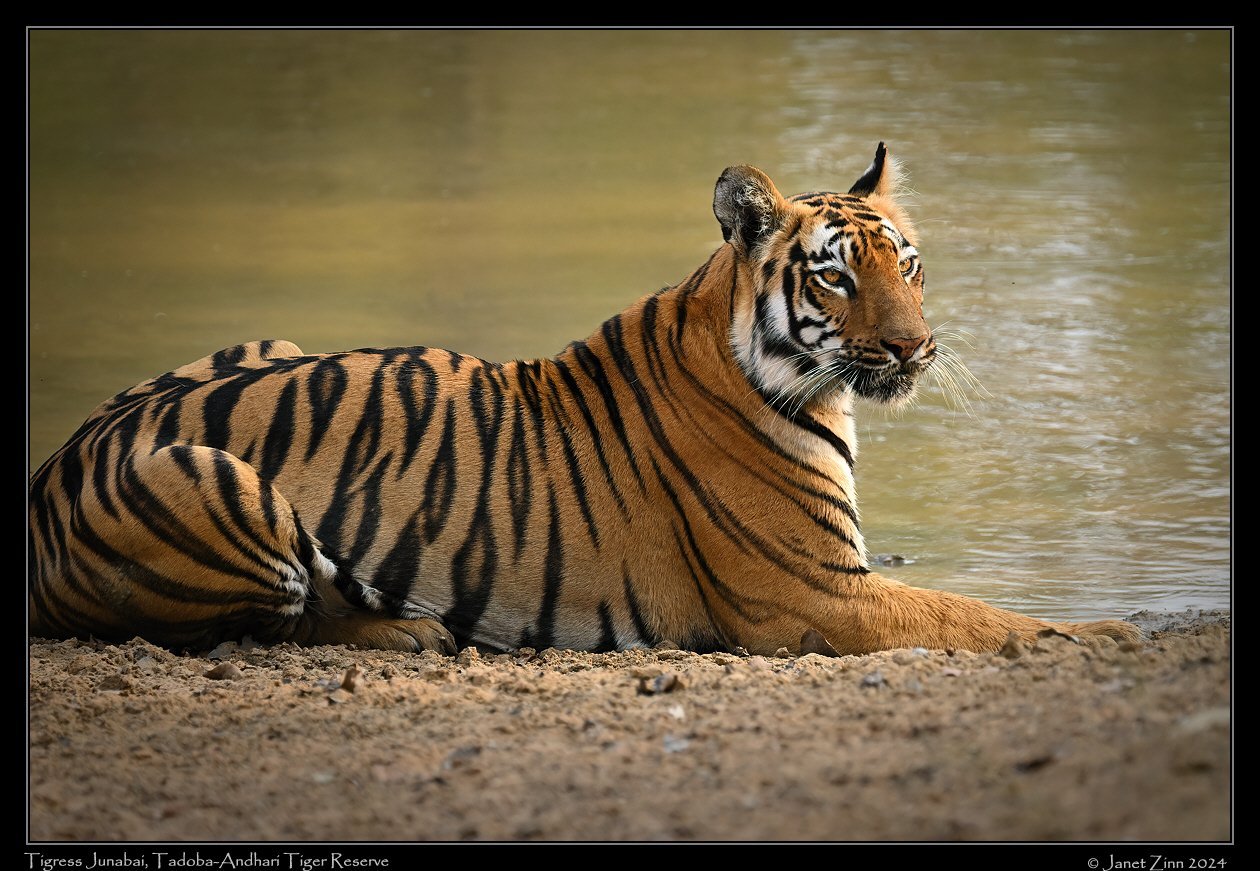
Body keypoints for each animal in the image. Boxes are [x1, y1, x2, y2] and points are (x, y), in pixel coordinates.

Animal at [27, 143, 1141, 656]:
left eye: (906, 264)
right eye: (833, 277)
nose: (917, 346)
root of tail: (57, 459)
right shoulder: (815, 591)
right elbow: (976, 614)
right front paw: (1105, 635)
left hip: (264, 342)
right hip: (215, 477)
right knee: (261, 623)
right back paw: (409, 634)